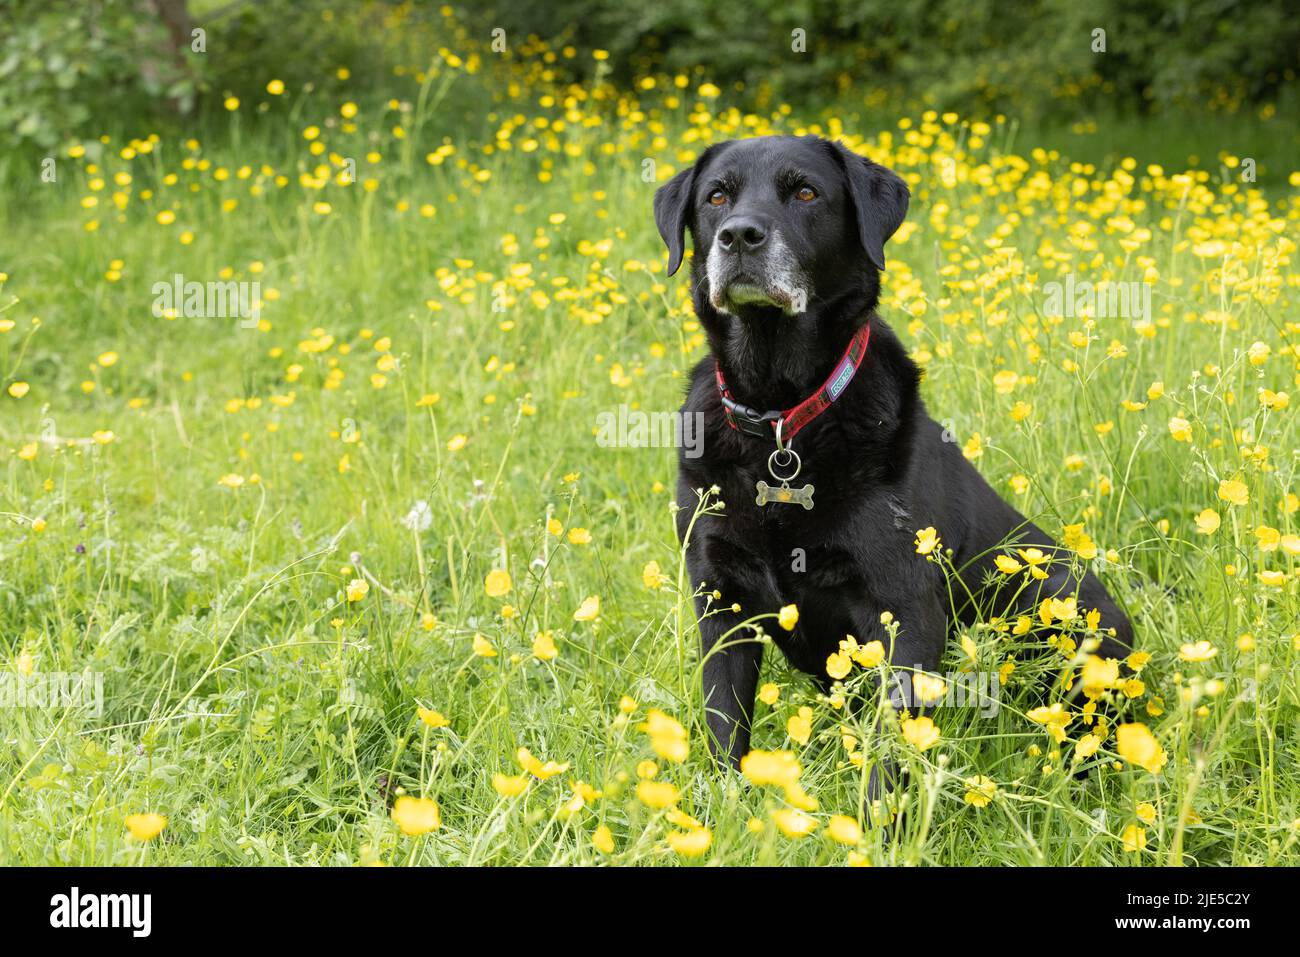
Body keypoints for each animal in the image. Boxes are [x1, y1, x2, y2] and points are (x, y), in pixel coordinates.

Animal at [654, 135, 1134, 793]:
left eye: (806, 192)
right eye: (717, 197)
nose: (739, 236)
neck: (783, 417)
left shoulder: (902, 610)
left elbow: (887, 750)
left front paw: (874, 816)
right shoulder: (721, 602)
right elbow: (724, 726)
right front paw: (724, 807)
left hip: (1058, 600)